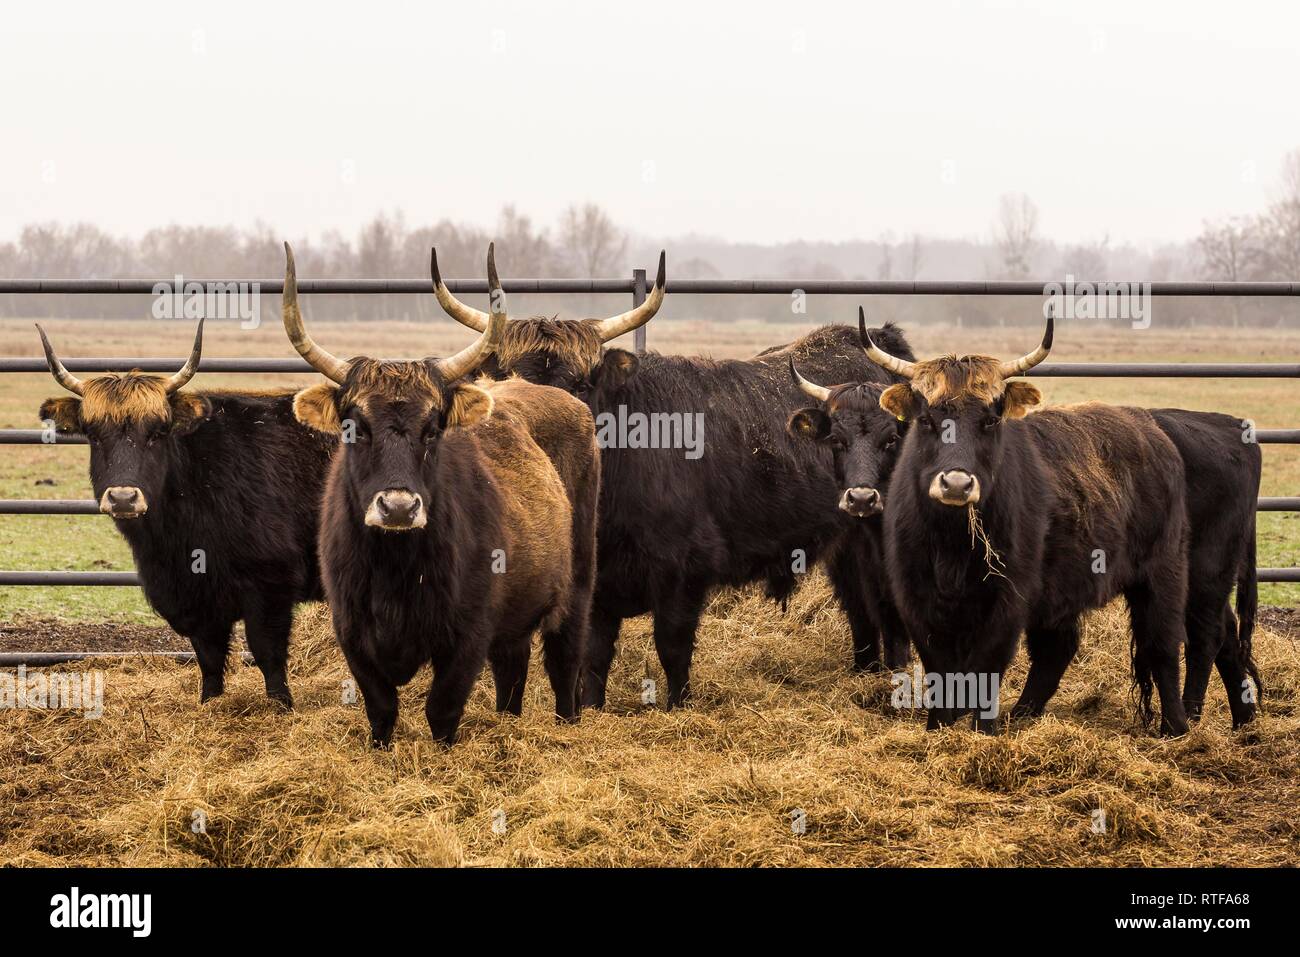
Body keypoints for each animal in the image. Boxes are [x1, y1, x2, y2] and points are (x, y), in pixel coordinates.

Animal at [35, 320, 336, 708]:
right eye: (94, 434)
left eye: (157, 432)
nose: (122, 498)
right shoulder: (193, 598)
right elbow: (209, 659)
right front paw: (210, 703)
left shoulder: (271, 587)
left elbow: (268, 655)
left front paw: (280, 706)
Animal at [281, 244, 599, 746]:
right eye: (354, 426)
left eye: (433, 428)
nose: (397, 507)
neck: (396, 567)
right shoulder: (353, 634)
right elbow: (382, 710)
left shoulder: (467, 637)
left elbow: (442, 711)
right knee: (512, 671)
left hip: (578, 585)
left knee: (564, 663)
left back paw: (567, 724)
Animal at [430, 247, 916, 707]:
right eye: (506, 377)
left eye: (583, 384)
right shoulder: (598, 587)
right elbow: (594, 657)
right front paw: (592, 707)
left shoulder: (684, 575)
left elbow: (673, 650)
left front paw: (677, 706)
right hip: (848, 543)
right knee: (860, 609)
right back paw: (864, 676)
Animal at [862, 318, 1195, 735]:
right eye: (926, 420)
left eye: (990, 420)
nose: (956, 484)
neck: (952, 542)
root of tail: (1152, 430)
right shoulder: (916, 599)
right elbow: (942, 672)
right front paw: (939, 729)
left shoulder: (1008, 601)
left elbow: (986, 670)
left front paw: (982, 732)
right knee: (1057, 650)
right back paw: (1022, 715)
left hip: (1163, 573)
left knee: (1162, 645)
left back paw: (1175, 728)